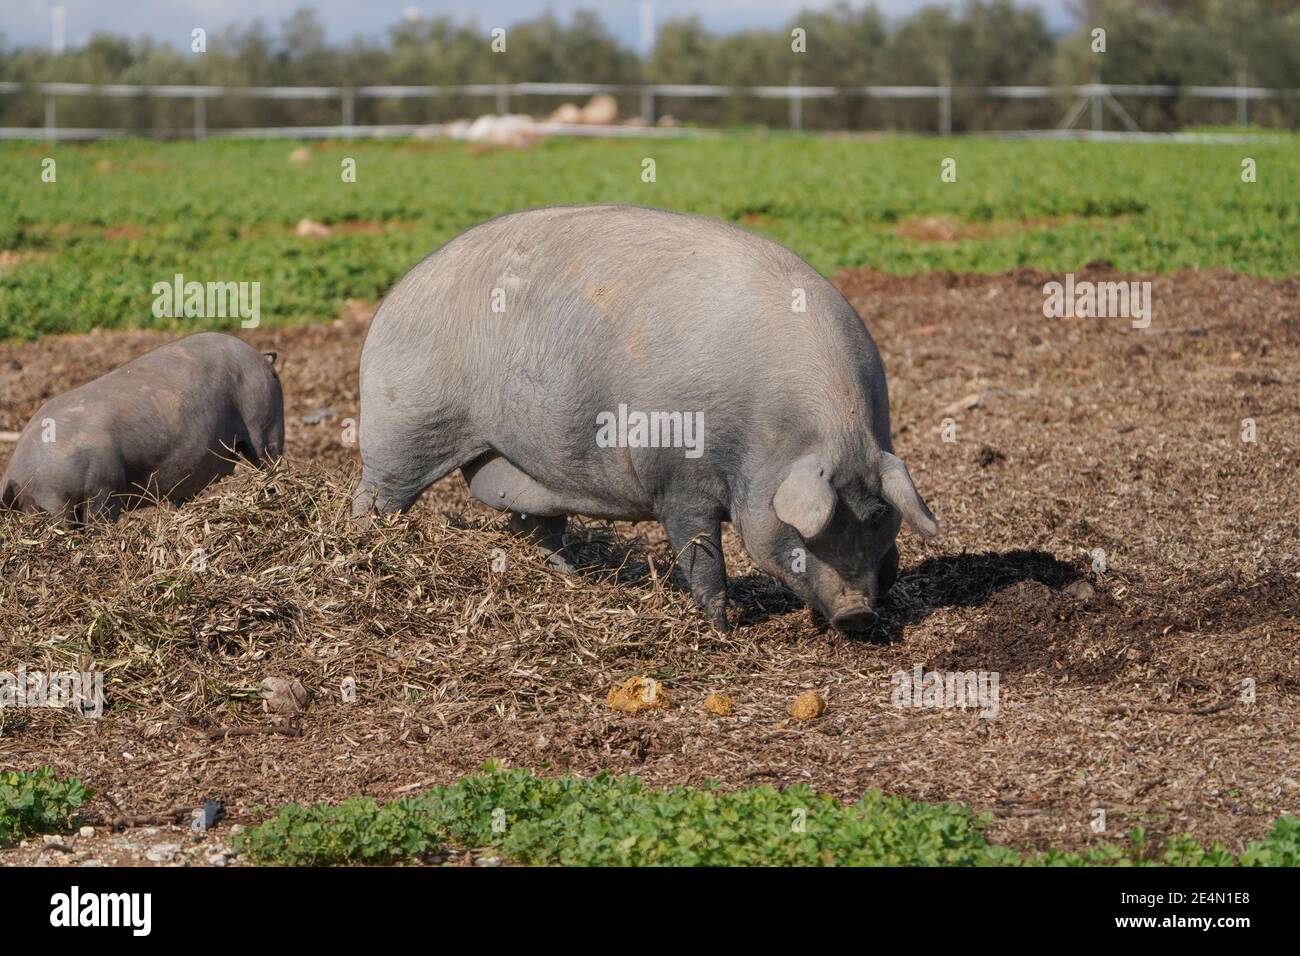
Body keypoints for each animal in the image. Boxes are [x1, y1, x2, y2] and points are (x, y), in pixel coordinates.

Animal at [1, 332, 284, 523]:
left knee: (270, 460)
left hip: (265, 418)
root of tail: (261, 357)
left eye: (39, 511)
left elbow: (99, 520)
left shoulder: (103, 487)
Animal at [351, 204, 937, 632]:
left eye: (878, 519)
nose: (858, 615)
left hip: (521, 461)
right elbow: (701, 556)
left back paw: (571, 580)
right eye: (809, 533)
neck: (774, 434)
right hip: (402, 426)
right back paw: (361, 550)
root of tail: (395, 295)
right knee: (376, 495)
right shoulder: (678, 477)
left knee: (535, 527)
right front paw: (722, 629)